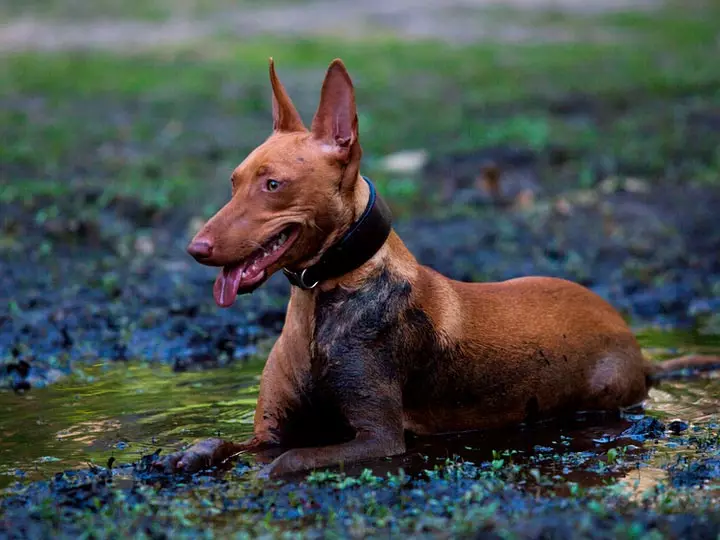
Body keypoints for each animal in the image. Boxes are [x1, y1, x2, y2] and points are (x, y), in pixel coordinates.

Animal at [160, 59, 720, 478]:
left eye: (273, 185)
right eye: (234, 181)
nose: (195, 248)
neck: (325, 295)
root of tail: (637, 349)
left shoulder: (378, 437)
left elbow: (289, 461)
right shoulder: (269, 431)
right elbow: (223, 443)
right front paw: (187, 455)